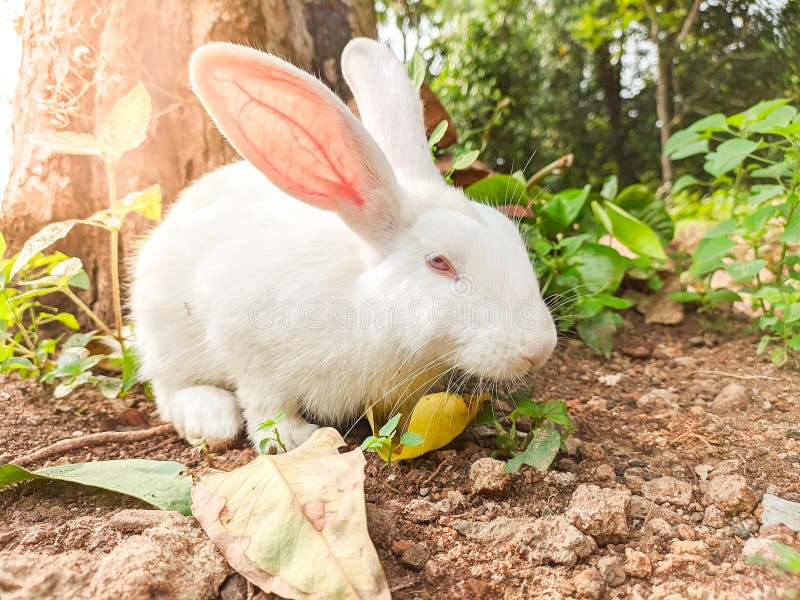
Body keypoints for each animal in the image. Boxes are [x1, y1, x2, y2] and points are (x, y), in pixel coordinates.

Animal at [130, 38, 557, 452]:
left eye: (511, 236)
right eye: (439, 261)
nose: (540, 348)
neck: (363, 304)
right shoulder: (246, 341)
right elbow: (267, 403)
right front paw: (295, 439)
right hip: (164, 335)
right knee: (169, 389)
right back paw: (211, 417)